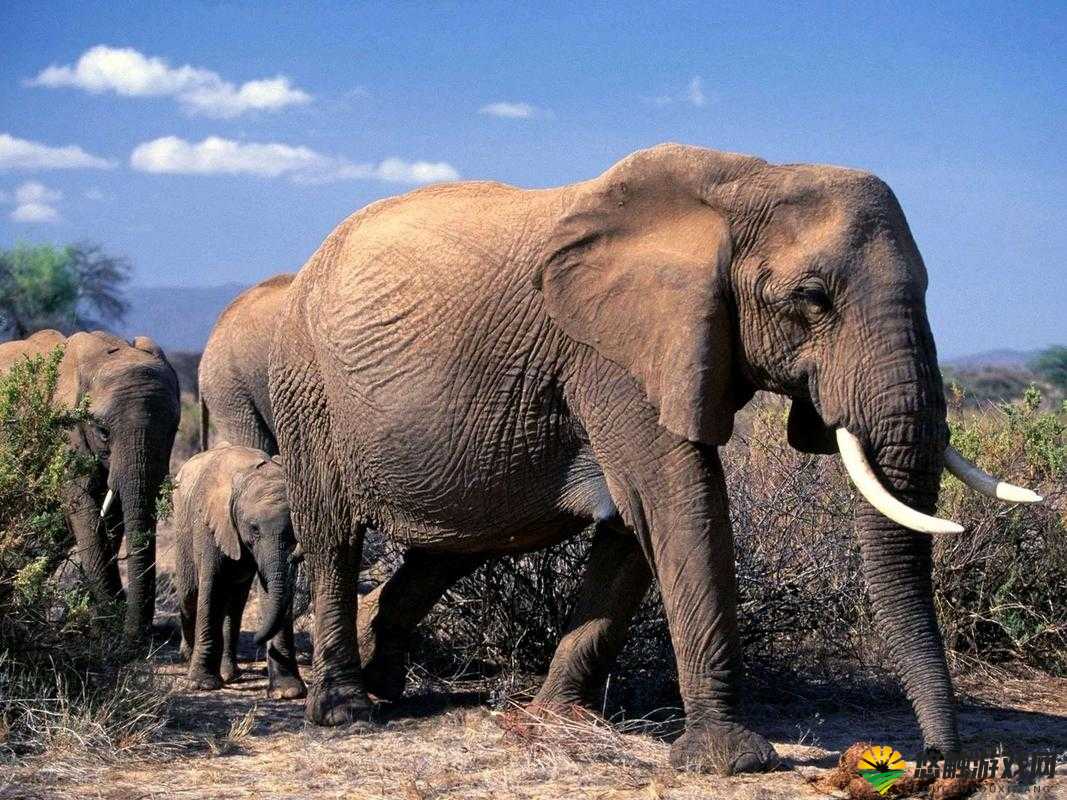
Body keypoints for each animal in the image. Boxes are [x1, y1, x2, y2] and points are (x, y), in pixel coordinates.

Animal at [0, 329, 180, 639]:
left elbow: (113, 514)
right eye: (103, 432)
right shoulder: (66, 434)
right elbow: (84, 511)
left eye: (173, 430)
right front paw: (108, 626)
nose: (140, 633)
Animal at [172, 443, 306, 698]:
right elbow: (212, 588)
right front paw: (202, 685)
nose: (255, 638)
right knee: (189, 595)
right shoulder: (210, 523)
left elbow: (270, 592)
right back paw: (187, 659)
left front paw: (288, 691)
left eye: (295, 529)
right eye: (254, 529)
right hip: (182, 532)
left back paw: (229, 674)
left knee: (235, 604)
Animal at [266, 144, 1039, 773]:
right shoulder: (611, 353)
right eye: (811, 299)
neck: (743, 183)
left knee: (455, 545)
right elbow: (679, 500)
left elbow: (633, 526)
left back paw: (385, 684)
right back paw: (346, 711)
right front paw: (728, 761)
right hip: (306, 388)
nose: (939, 761)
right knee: (333, 537)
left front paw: (551, 719)